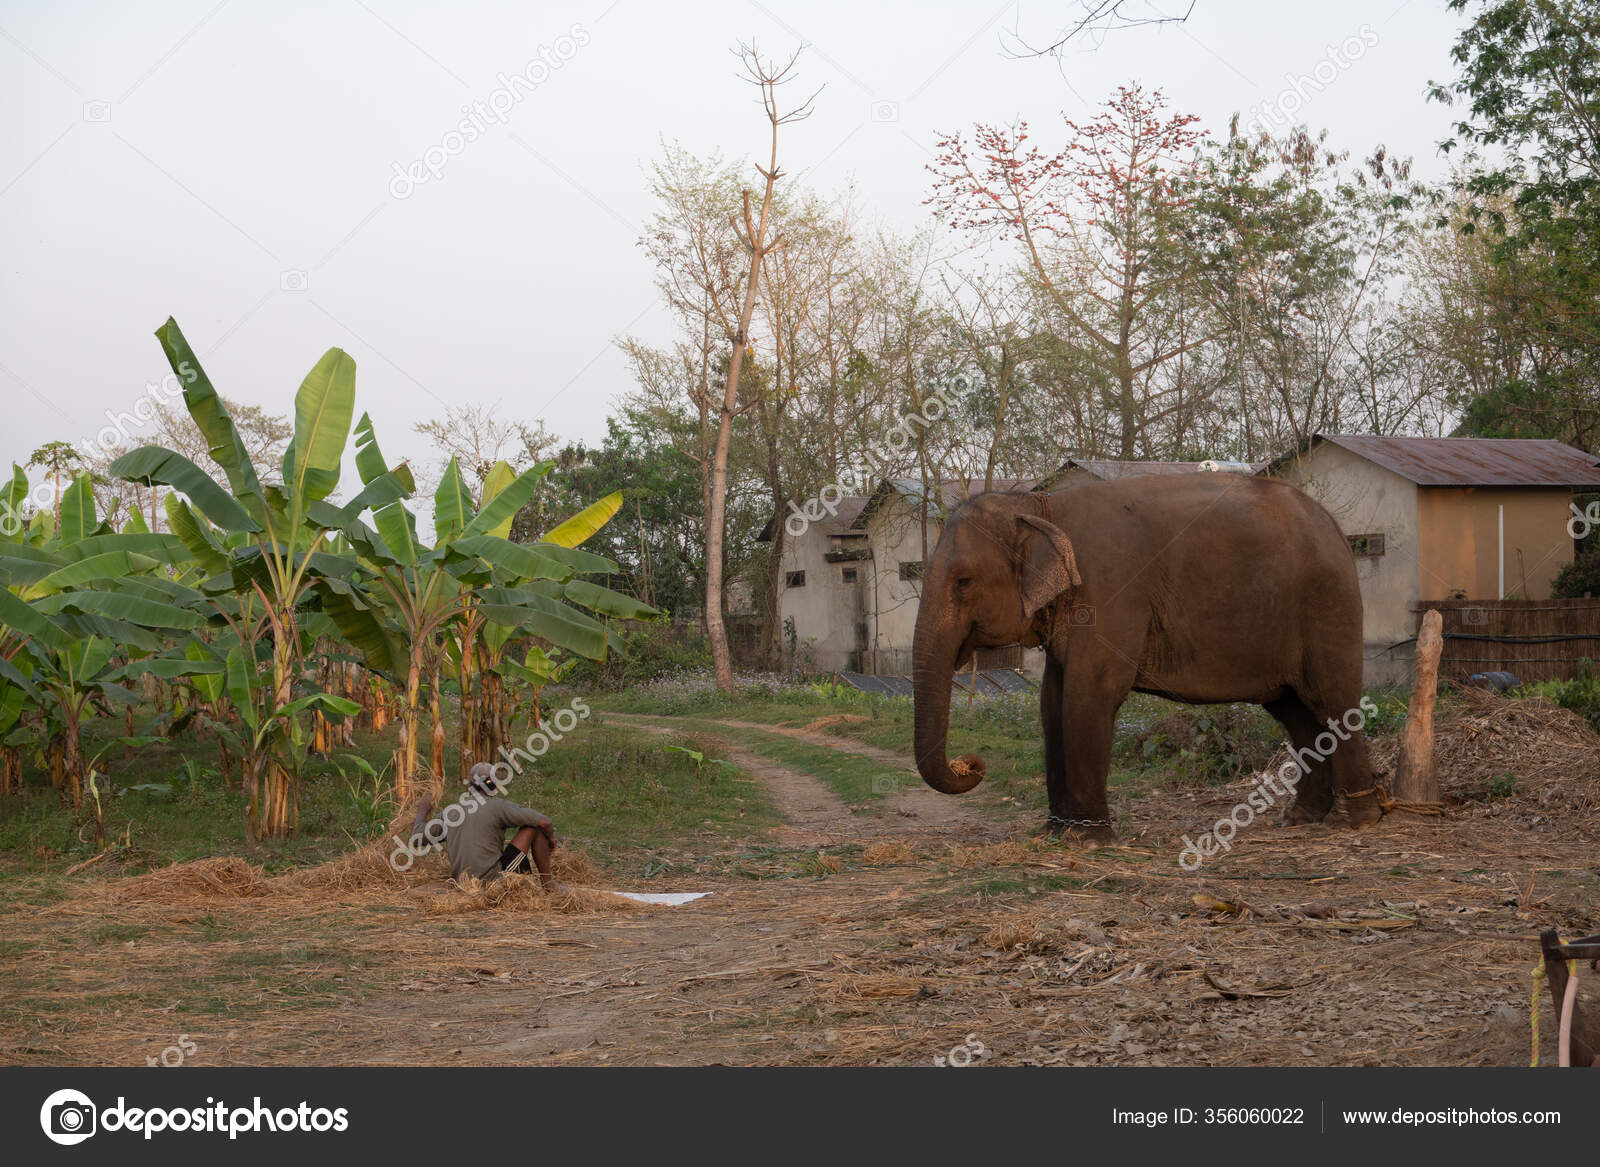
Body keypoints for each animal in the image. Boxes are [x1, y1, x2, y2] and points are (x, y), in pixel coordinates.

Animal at [910, 474, 1381, 839]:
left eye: (963, 582)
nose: (969, 762)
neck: (1039, 505)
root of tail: (1337, 528)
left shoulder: (1110, 591)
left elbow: (1089, 696)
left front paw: (1086, 840)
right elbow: (1052, 703)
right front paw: (1052, 834)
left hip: (1328, 604)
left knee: (1332, 701)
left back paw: (1350, 823)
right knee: (1297, 712)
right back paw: (1300, 819)